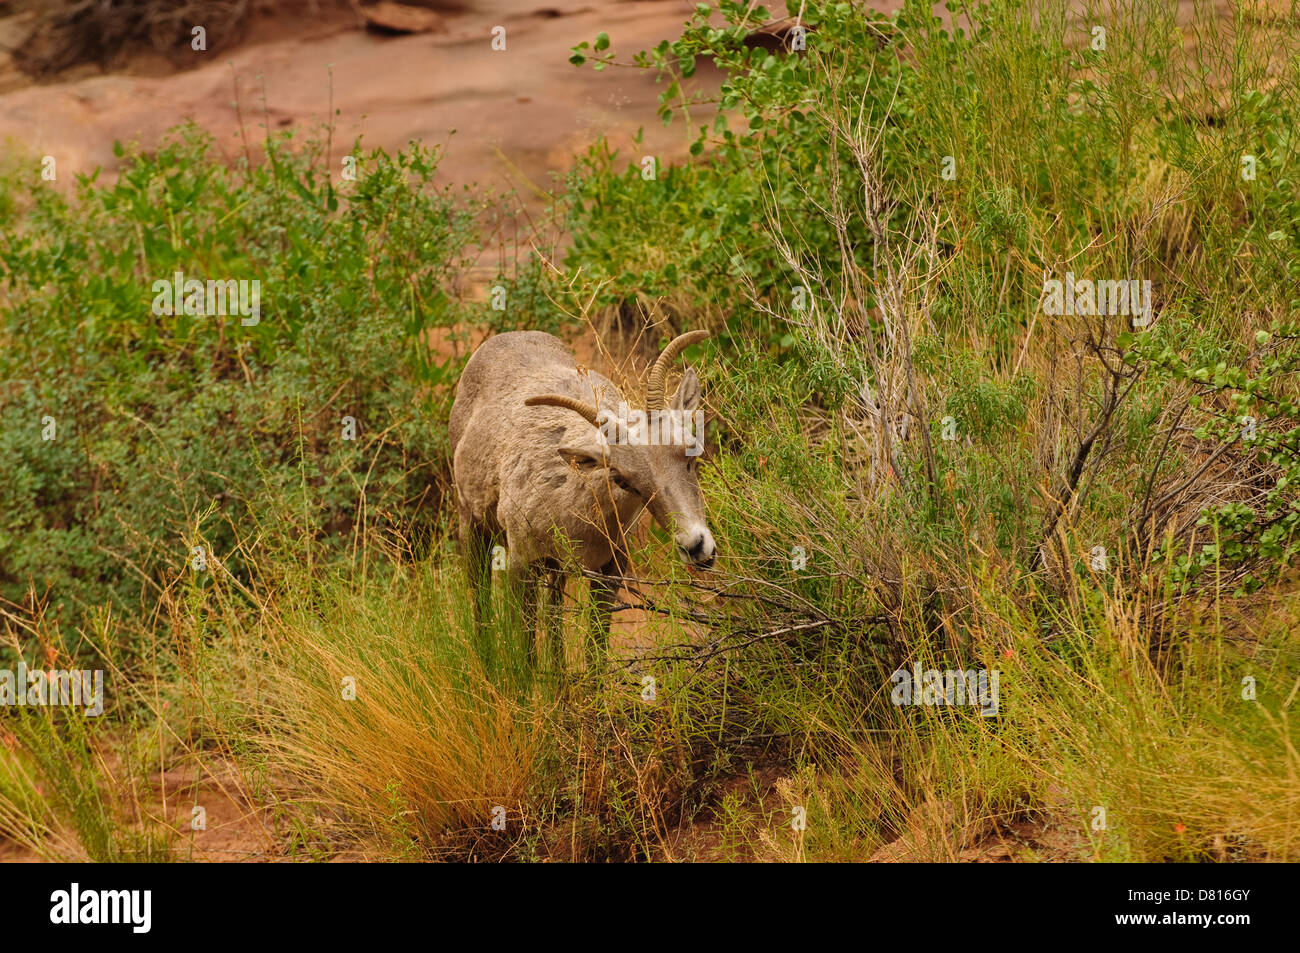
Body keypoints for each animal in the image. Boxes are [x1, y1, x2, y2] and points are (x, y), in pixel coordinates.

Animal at [449, 329, 715, 674]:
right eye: (625, 480)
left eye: (689, 454)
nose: (695, 547)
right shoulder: (521, 564)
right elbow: (526, 656)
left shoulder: (609, 568)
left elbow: (595, 653)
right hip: (472, 527)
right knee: (480, 601)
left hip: (554, 571)